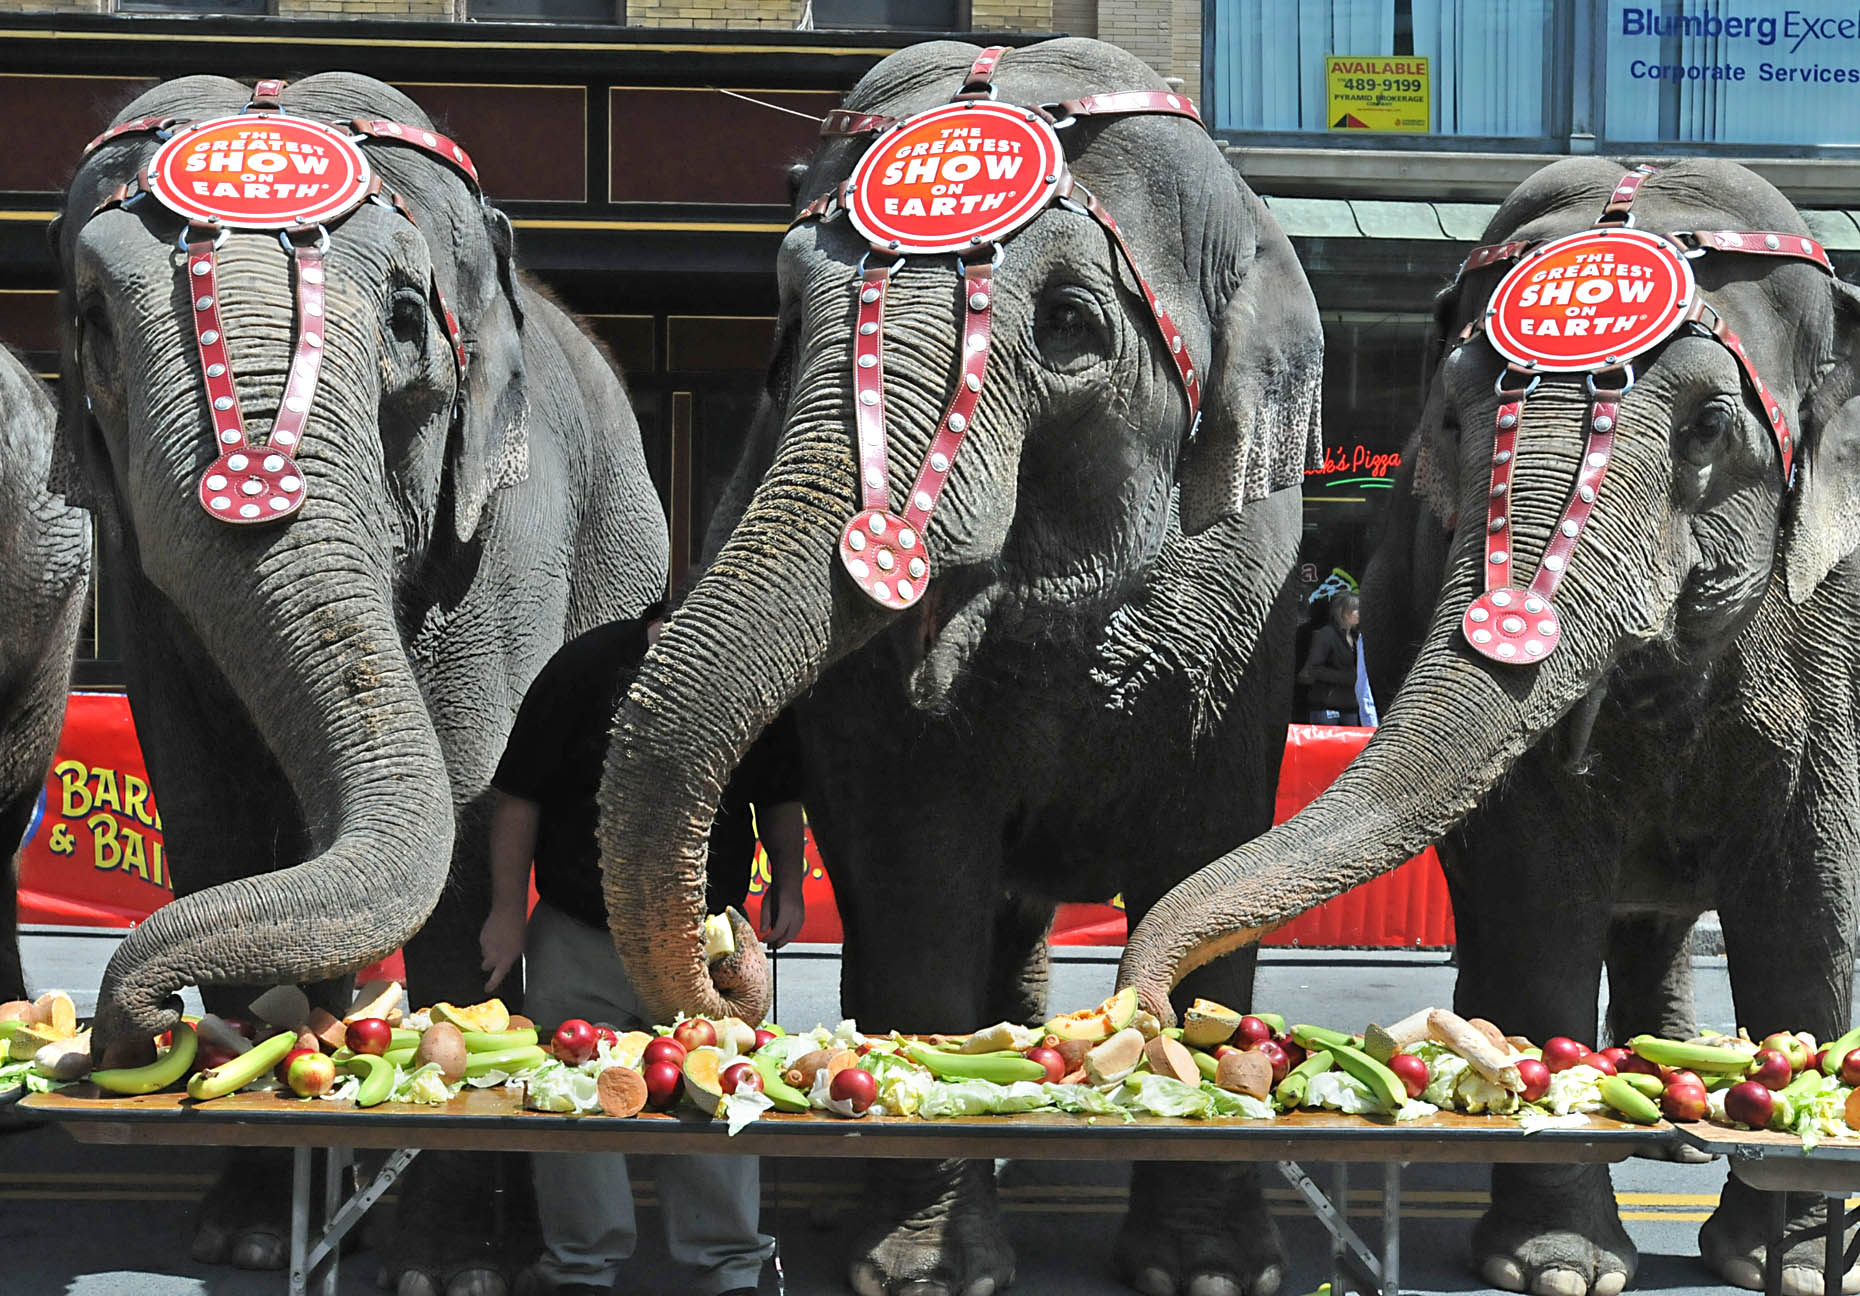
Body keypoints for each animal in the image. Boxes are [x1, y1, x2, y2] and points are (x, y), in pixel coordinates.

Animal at [57, 74, 667, 1296]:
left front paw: (447, 1268)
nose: (136, 1029)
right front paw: (243, 1234)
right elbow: (214, 819)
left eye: (401, 319)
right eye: (93, 322)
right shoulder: (139, 586)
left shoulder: (505, 532)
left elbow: (470, 838)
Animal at [594, 37, 1322, 1296]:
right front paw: (926, 1271)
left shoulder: (1248, 605)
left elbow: (1212, 852)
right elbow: (913, 869)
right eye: (785, 323)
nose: (735, 971)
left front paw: (1211, 1271)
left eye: (1072, 323)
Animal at [1118, 156, 1860, 1296]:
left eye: (1708, 426)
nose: (1152, 1009)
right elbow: (1535, 882)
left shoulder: (1836, 613)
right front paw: (1556, 1267)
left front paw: (1803, 1263)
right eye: (1457, 426)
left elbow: (1808, 888)